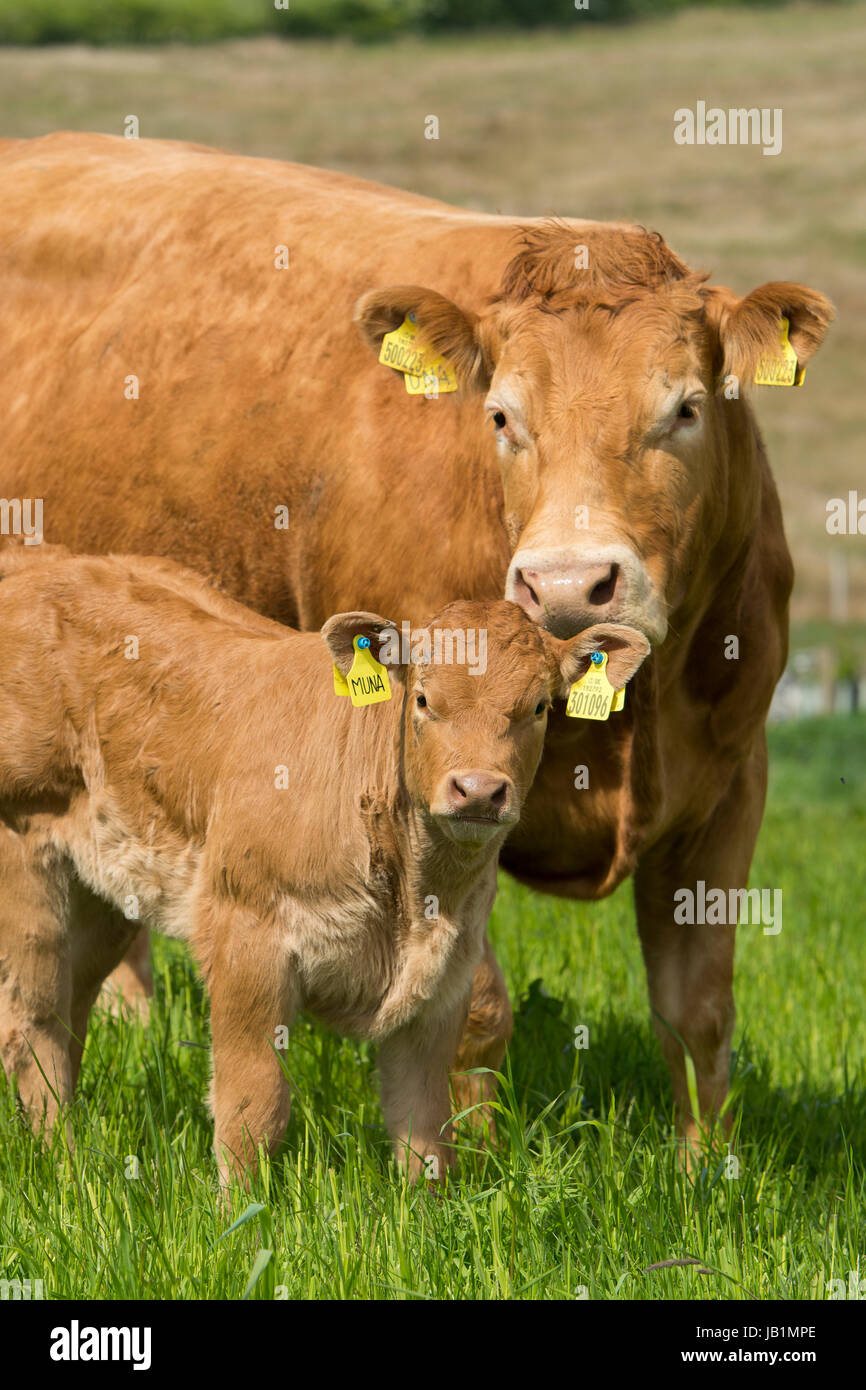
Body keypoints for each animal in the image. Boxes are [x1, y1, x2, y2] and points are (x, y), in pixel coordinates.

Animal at [0, 545, 649, 1181]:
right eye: (422, 699)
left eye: (538, 707)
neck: (413, 898)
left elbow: (424, 1129)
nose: (479, 790)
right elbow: (253, 1108)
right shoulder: (246, 937)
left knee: (71, 1008)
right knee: (31, 1020)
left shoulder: (445, 978)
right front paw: (240, 1210)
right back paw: (65, 1166)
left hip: (106, 887)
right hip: (25, 850)